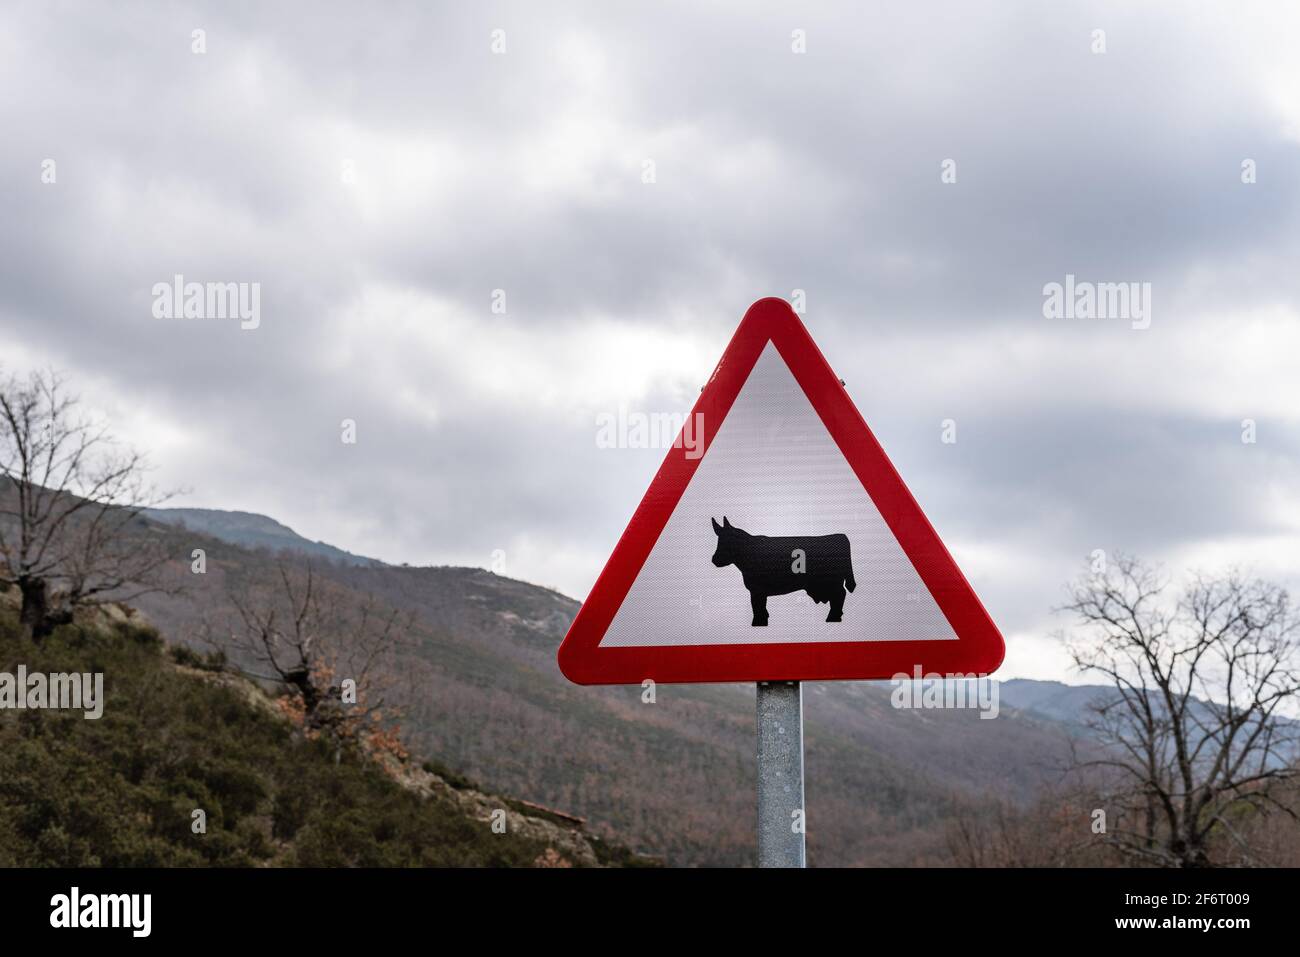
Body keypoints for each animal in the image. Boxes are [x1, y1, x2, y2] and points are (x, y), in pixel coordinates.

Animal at [710, 516, 856, 626]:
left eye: (729, 542)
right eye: (719, 541)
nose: (714, 559)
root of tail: (841, 537)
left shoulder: (757, 589)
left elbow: (757, 606)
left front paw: (758, 622)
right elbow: (761, 607)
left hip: (832, 581)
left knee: (840, 595)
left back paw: (833, 618)